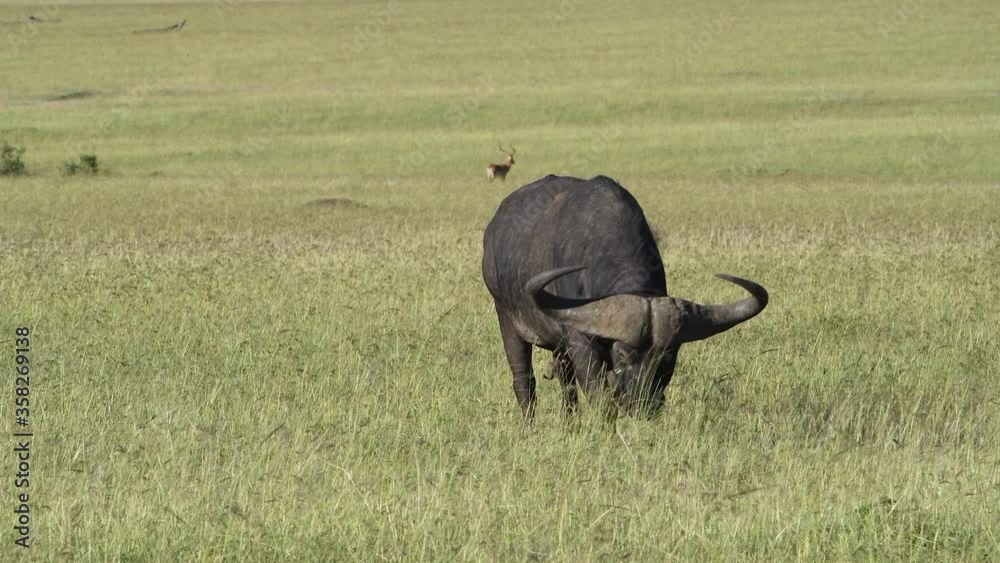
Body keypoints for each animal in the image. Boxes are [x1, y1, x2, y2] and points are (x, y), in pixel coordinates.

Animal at [482, 175, 768, 419]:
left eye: (667, 357)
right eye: (622, 355)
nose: (642, 404)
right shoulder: (580, 343)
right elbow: (601, 399)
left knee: (566, 383)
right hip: (507, 320)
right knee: (524, 381)